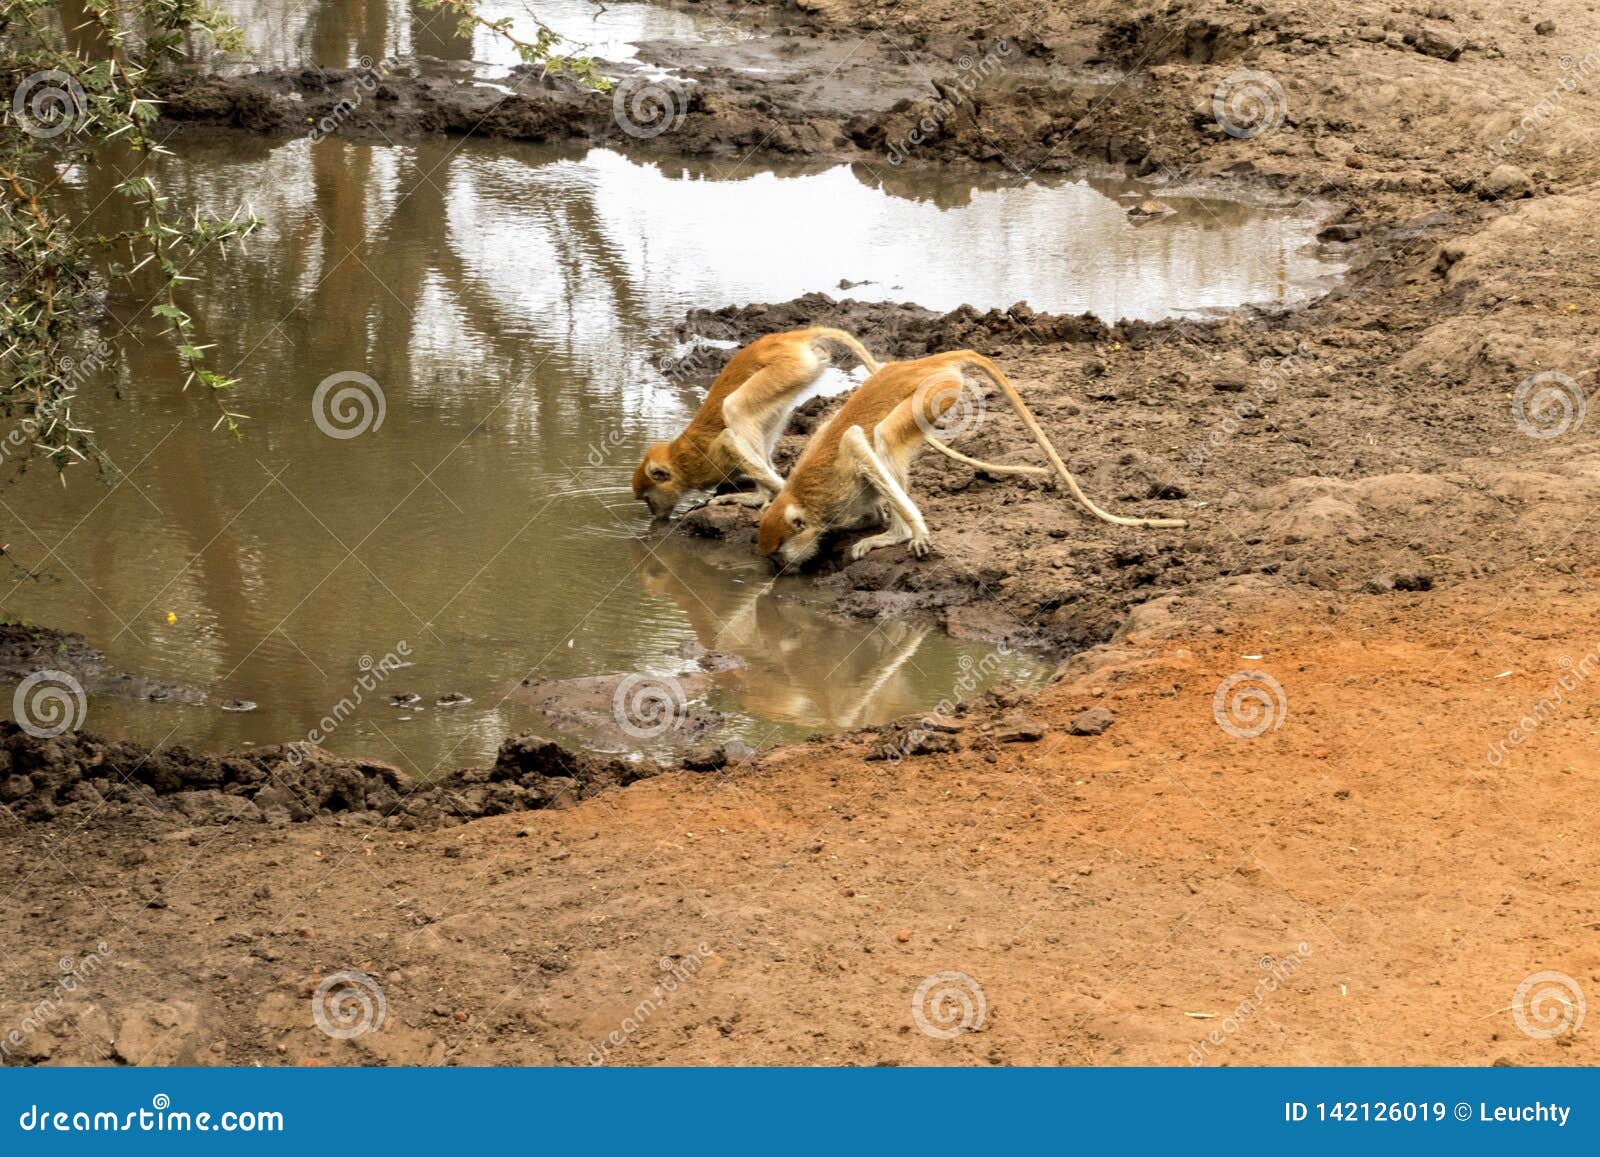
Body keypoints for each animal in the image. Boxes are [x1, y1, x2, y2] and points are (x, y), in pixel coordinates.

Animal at [632, 327, 882, 518]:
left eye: (648, 498)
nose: (654, 513)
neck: (679, 461)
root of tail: (792, 338)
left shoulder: (703, 462)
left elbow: (728, 440)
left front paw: (778, 491)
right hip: (796, 373)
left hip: (786, 367)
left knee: (735, 408)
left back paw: (758, 495)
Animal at [757, 350, 1187, 568]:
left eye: (778, 550)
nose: (778, 566)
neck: (803, 499)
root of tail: (923, 363)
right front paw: (874, 516)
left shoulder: (834, 480)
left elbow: (855, 442)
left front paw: (911, 531)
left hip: (936, 389)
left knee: (884, 437)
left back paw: (897, 533)